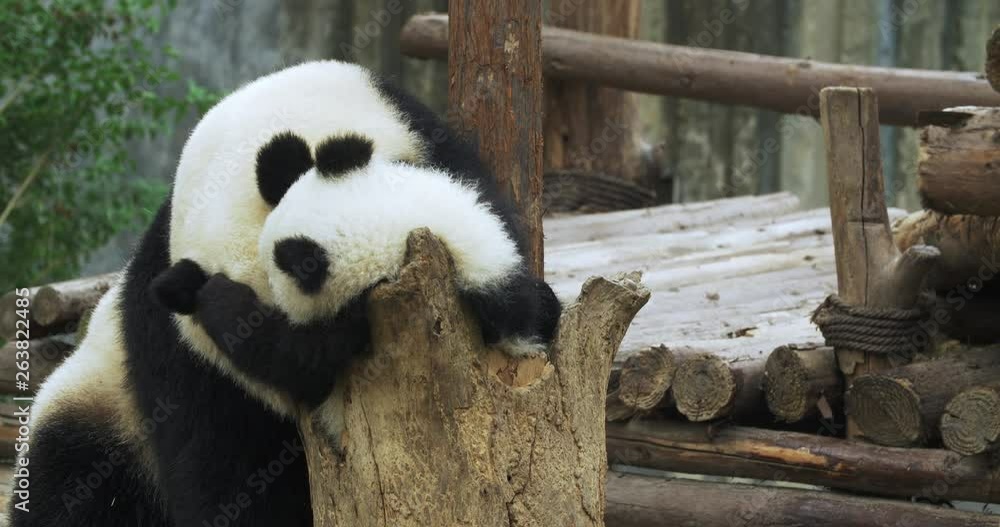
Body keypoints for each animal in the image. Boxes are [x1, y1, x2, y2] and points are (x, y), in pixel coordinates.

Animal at [12, 60, 560, 527]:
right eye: (289, 360)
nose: (340, 433)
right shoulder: (182, 362)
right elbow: (224, 475)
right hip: (94, 419)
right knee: (75, 489)